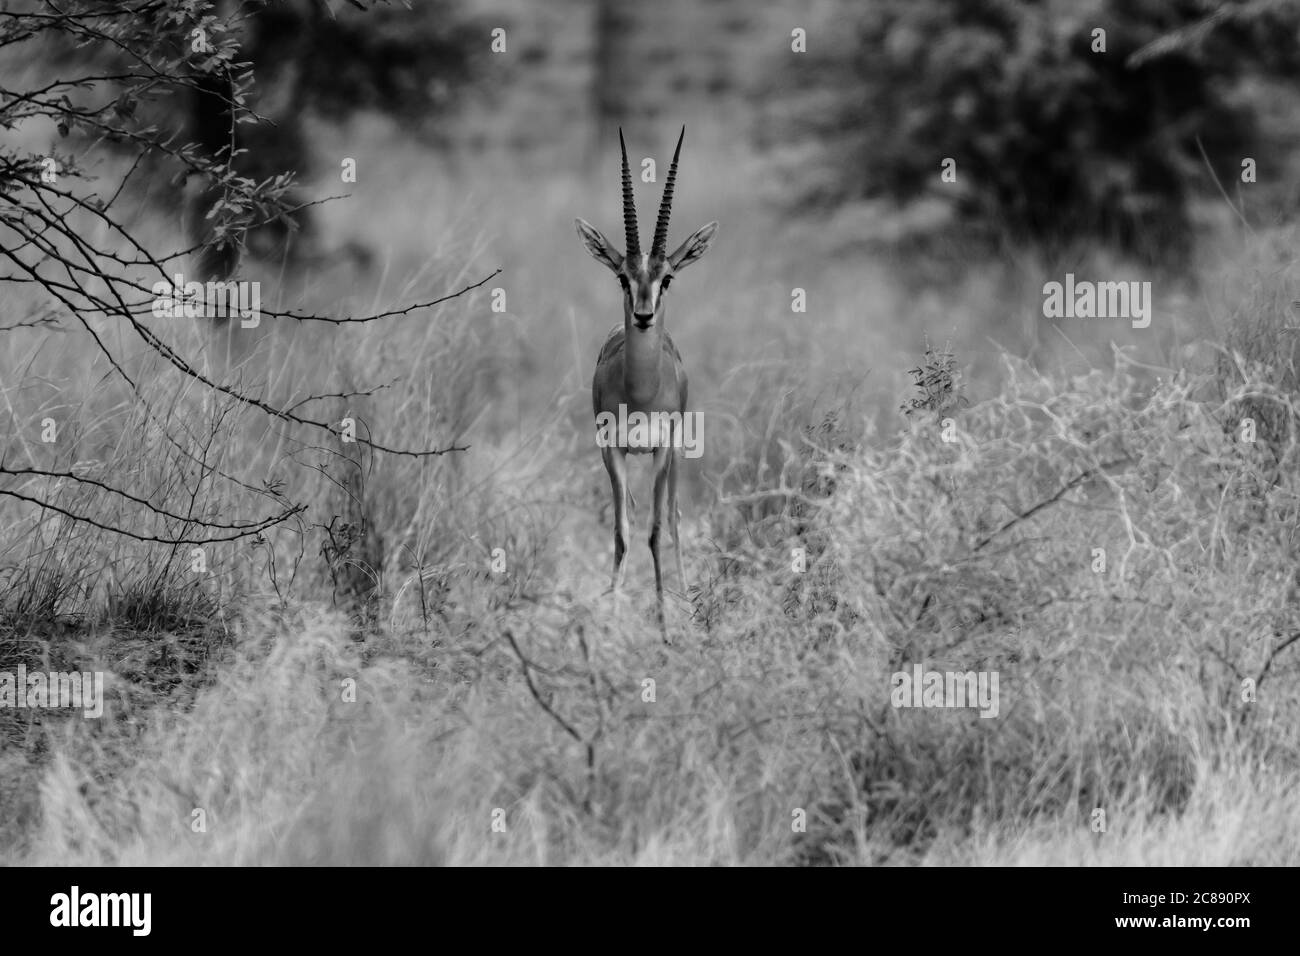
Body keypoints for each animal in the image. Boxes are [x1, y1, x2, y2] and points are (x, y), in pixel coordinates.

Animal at [575, 127, 718, 642]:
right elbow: (623, 531)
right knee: (636, 513)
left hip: (676, 457)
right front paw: (610, 623)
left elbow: (658, 530)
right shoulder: (610, 449)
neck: (639, 393)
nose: (642, 315)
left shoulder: (662, 448)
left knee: (672, 518)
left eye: (668, 278)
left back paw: (690, 612)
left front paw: (665, 629)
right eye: (622, 275)